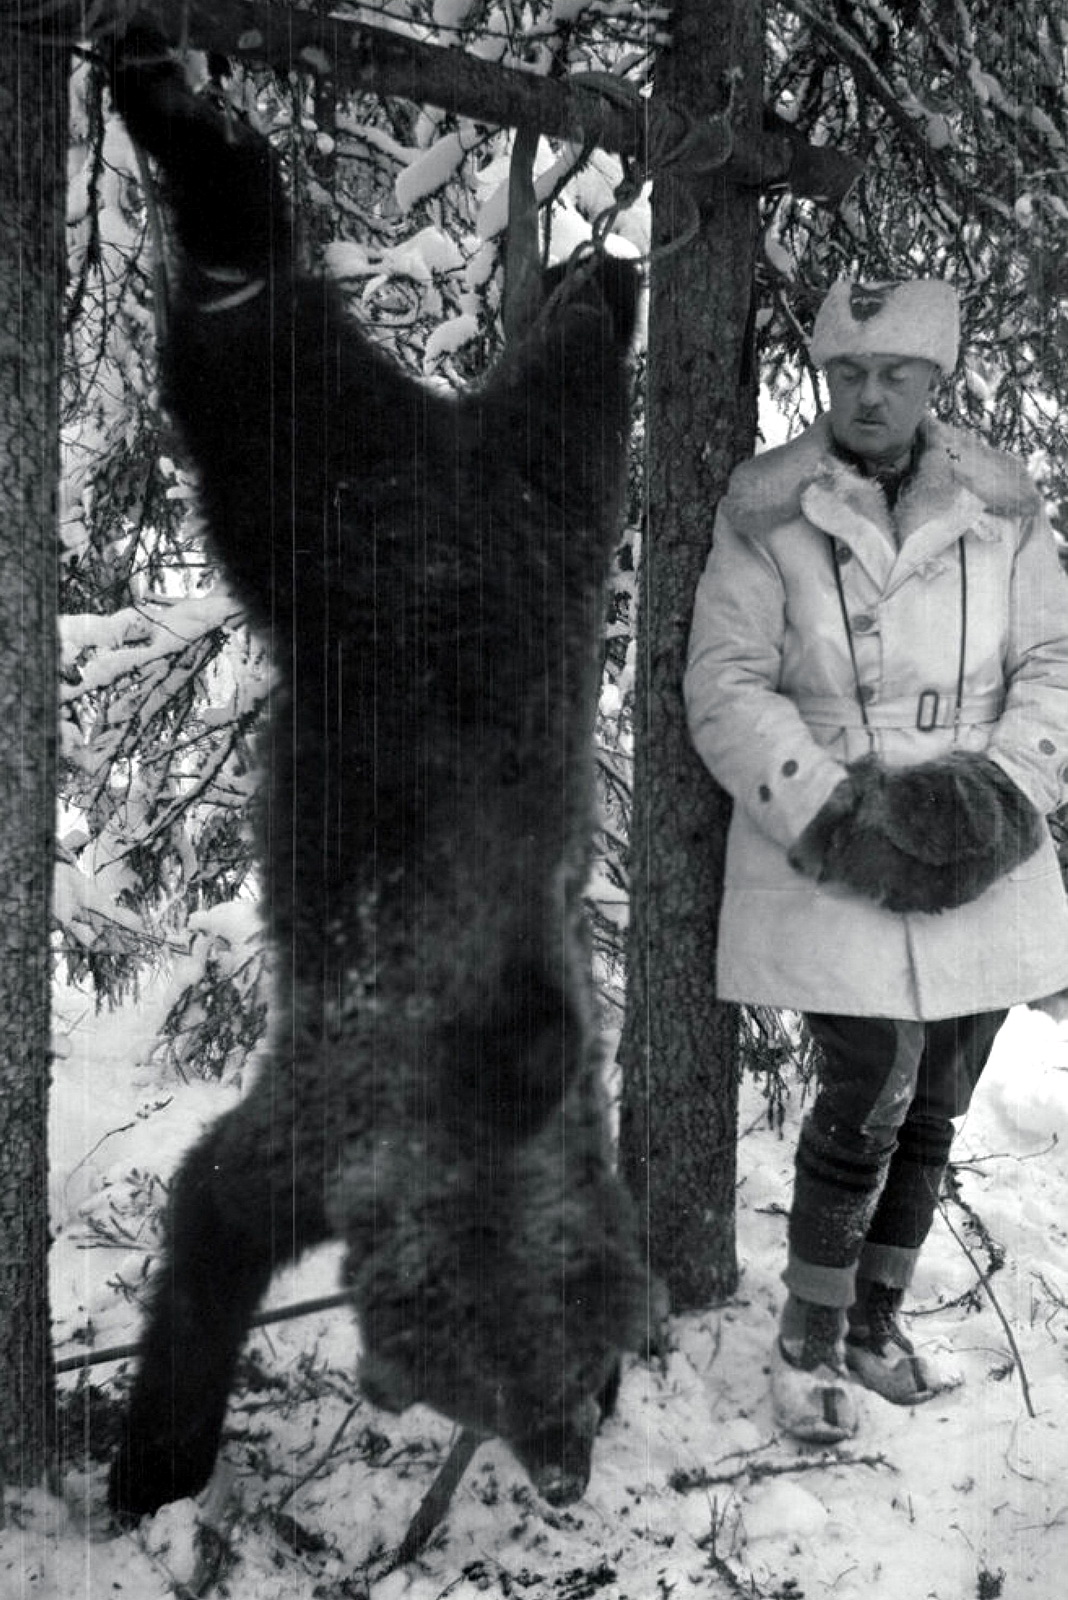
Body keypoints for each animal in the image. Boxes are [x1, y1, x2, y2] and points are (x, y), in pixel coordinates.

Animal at [105, 24, 647, 1523]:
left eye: (584, 1373)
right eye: (509, 1384)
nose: (570, 1473)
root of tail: (451, 457)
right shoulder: (340, 1103)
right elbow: (213, 1216)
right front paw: (157, 1458)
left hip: (553, 521)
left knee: (572, 401)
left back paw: (598, 275)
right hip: (349, 521)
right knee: (258, 365)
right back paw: (201, 152)